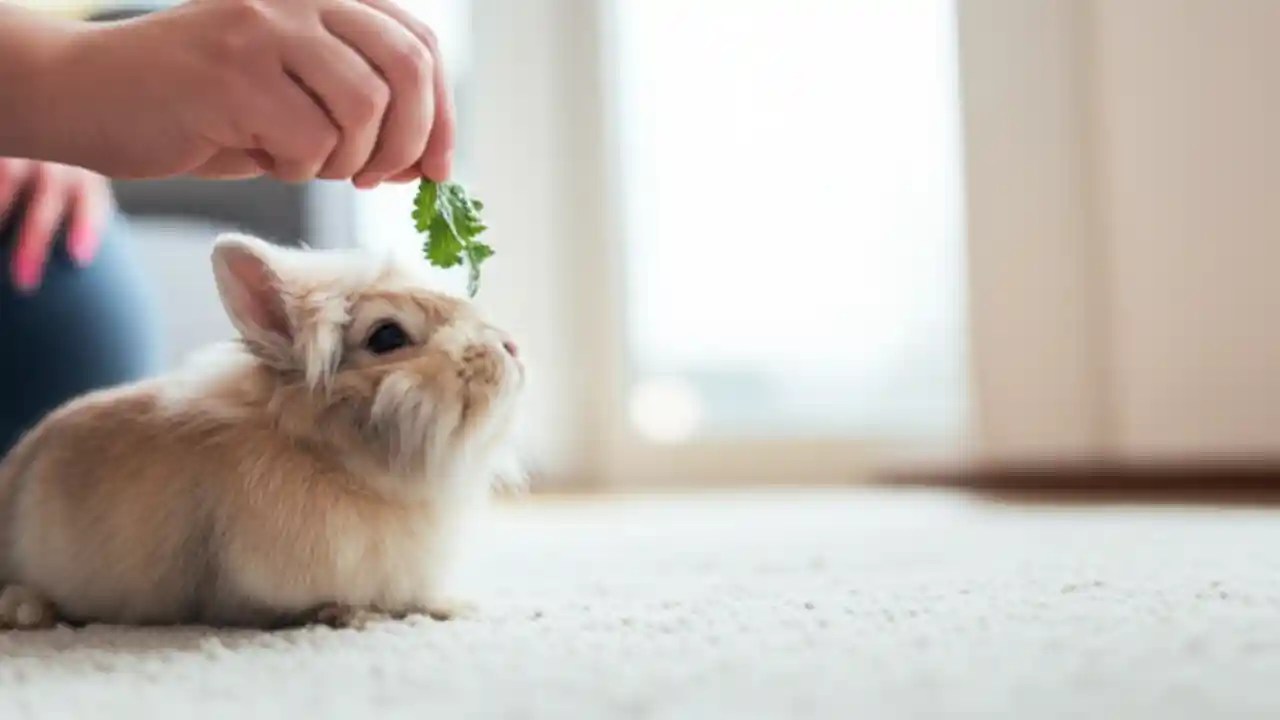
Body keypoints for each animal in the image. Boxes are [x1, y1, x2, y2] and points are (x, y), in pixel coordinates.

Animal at [0, 233, 525, 630]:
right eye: (388, 336)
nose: (511, 346)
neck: (331, 460)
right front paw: (352, 615)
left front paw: (454, 607)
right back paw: (27, 610)